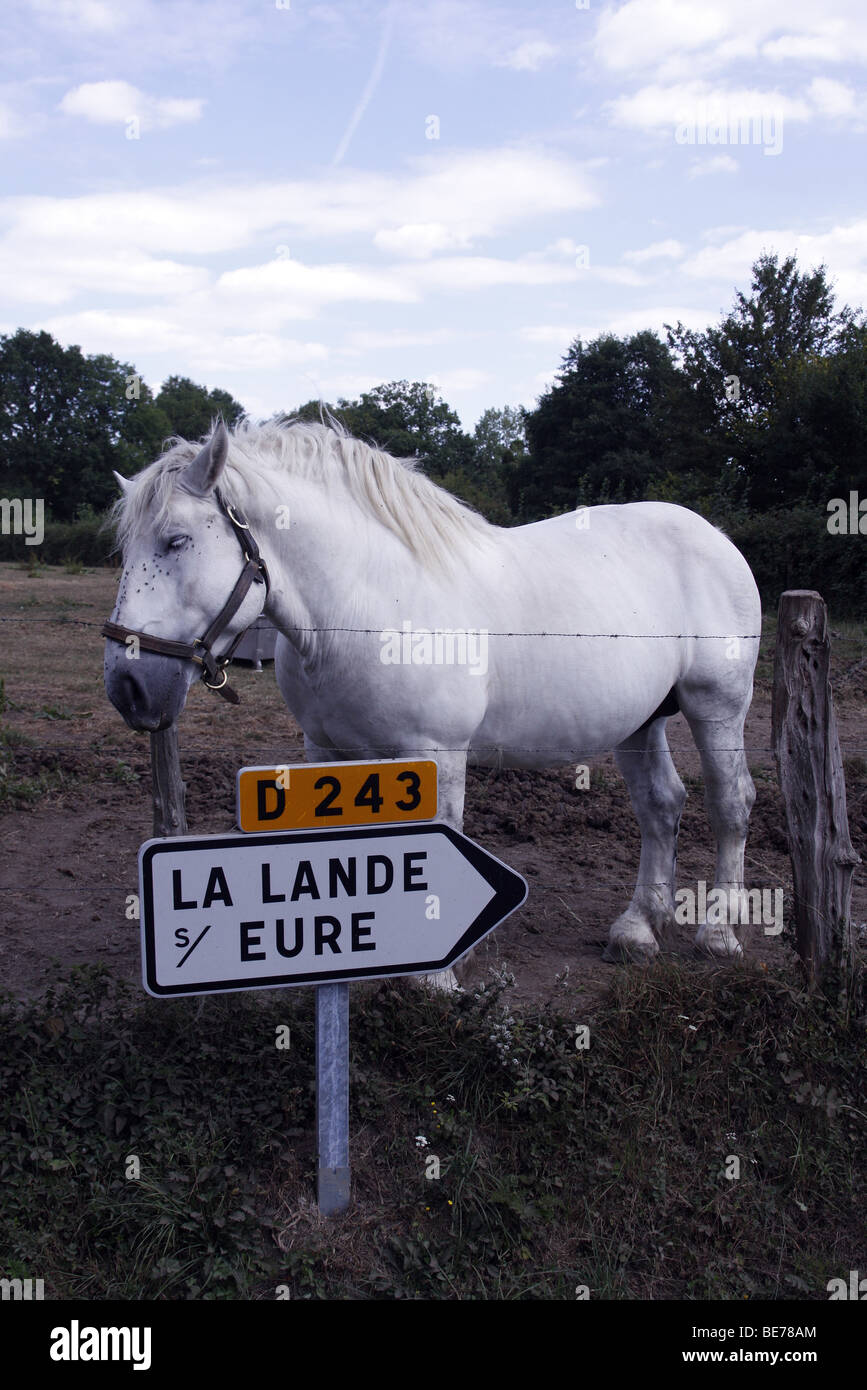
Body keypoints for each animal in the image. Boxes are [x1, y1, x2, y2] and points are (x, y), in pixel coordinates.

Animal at [103, 417, 761, 987]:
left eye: (176, 540)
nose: (126, 687)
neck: (363, 607)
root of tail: (715, 537)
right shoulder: (328, 752)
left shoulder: (436, 754)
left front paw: (433, 978)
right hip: (640, 723)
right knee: (661, 805)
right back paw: (638, 927)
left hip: (718, 707)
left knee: (730, 804)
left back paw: (719, 932)